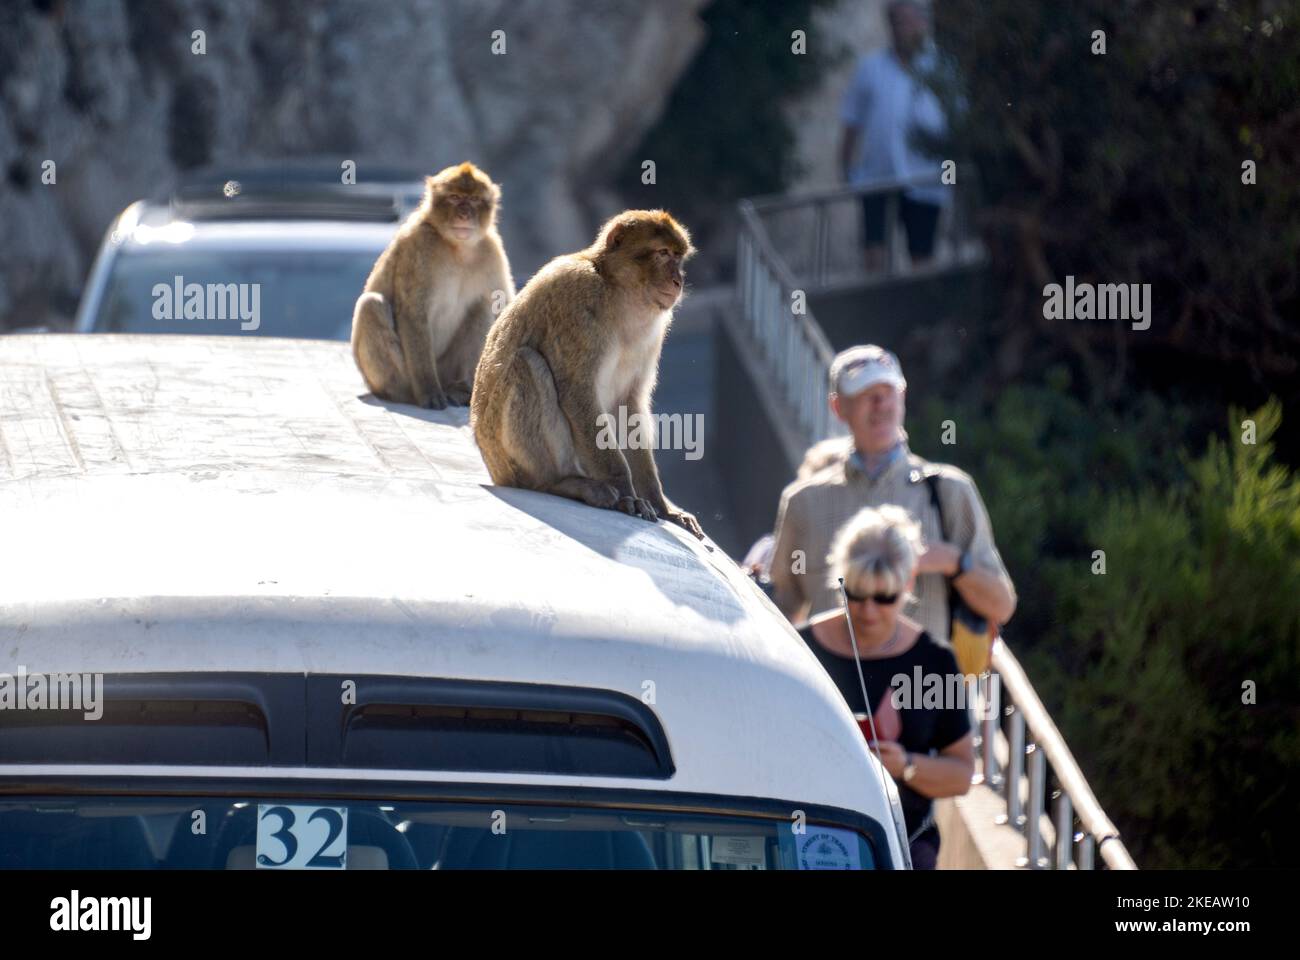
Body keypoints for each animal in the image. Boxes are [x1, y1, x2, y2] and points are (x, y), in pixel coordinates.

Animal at [351, 162, 514, 409]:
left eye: (474, 199)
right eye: (455, 197)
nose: (464, 214)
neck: (457, 248)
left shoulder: (492, 250)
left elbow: (503, 304)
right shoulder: (418, 246)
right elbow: (413, 314)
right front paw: (429, 392)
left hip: (446, 368)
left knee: (482, 306)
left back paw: (460, 388)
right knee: (371, 305)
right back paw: (403, 393)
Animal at [471, 209, 705, 540]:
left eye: (678, 257)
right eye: (662, 254)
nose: (678, 280)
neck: (617, 292)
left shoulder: (654, 332)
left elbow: (629, 404)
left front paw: (660, 504)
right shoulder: (579, 296)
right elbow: (577, 391)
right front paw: (625, 489)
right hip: (507, 457)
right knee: (526, 364)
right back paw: (556, 483)